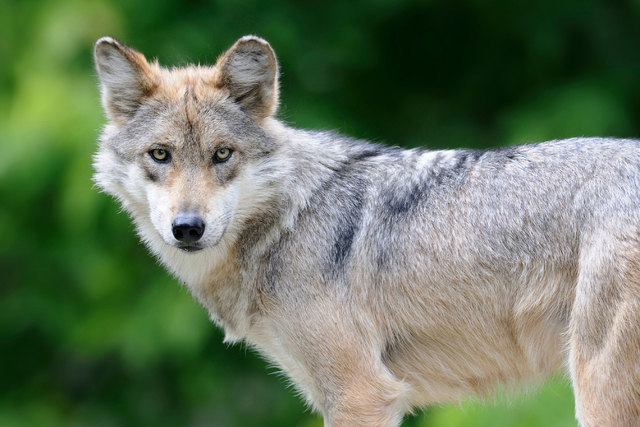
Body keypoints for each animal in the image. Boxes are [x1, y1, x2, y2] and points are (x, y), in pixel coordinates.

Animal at [93, 35, 640, 426]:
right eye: (160, 155)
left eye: (222, 154)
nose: (187, 228)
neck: (287, 222)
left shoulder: (362, 393)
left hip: (597, 391)